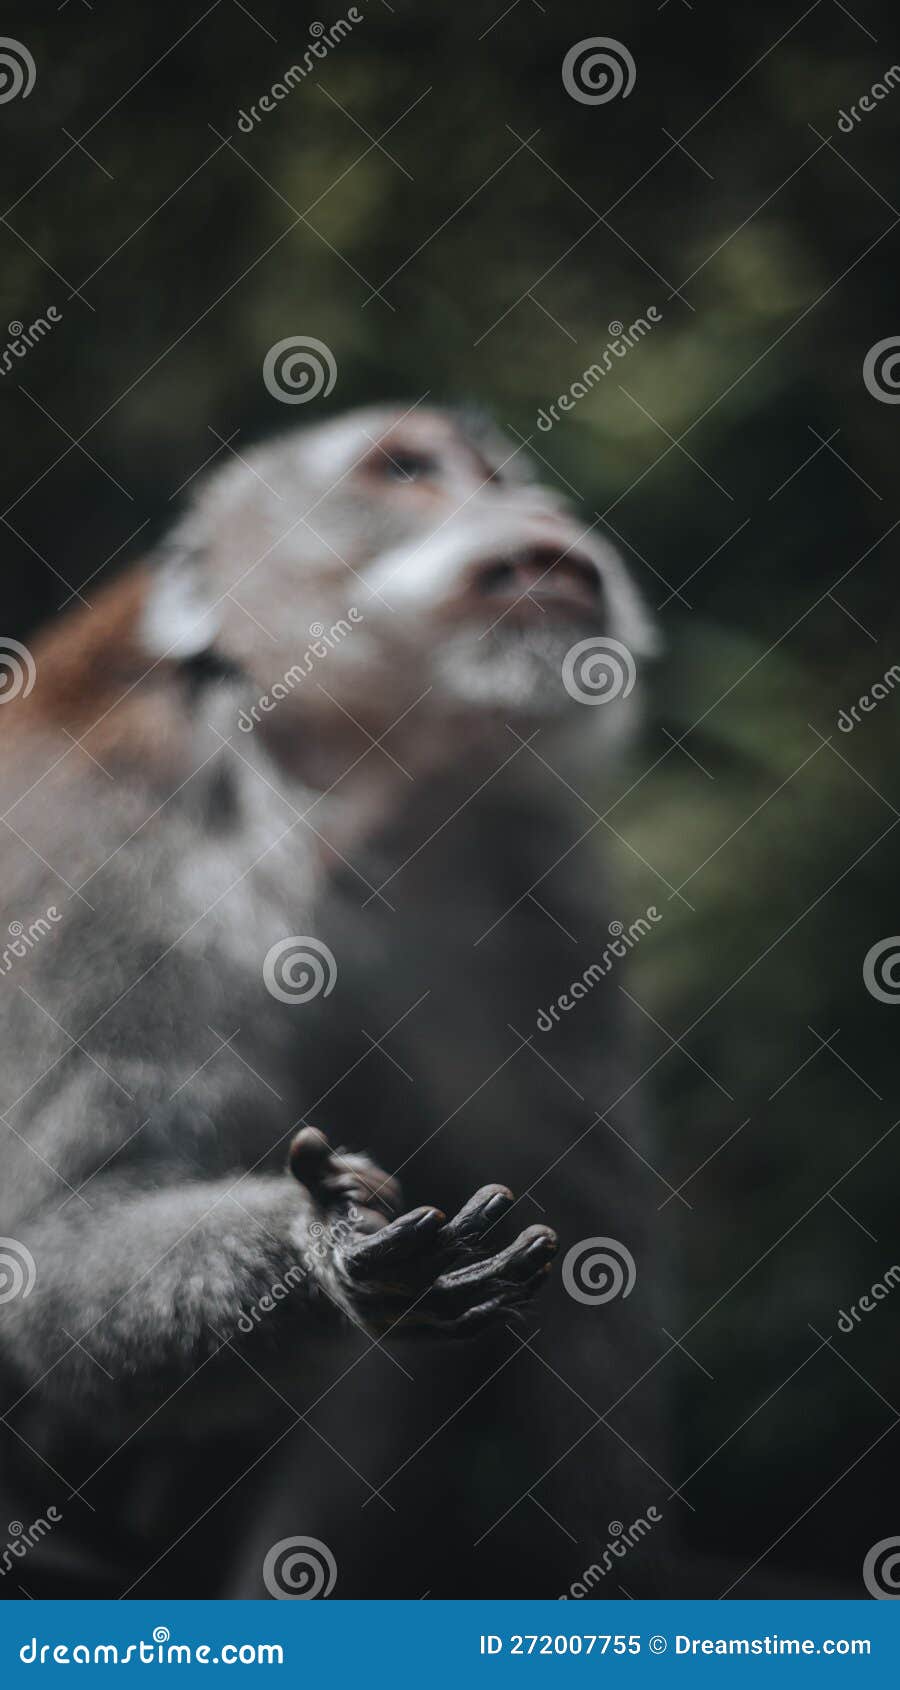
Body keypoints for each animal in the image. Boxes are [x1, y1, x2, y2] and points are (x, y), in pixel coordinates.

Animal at [0, 404, 667, 1599]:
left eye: (496, 473)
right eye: (405, 470)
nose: (536, 507)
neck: (335, 810)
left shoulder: (535, 884)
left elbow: (593, 1251)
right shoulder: (104, 856)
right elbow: (56, 1241)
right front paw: (324, 1246)